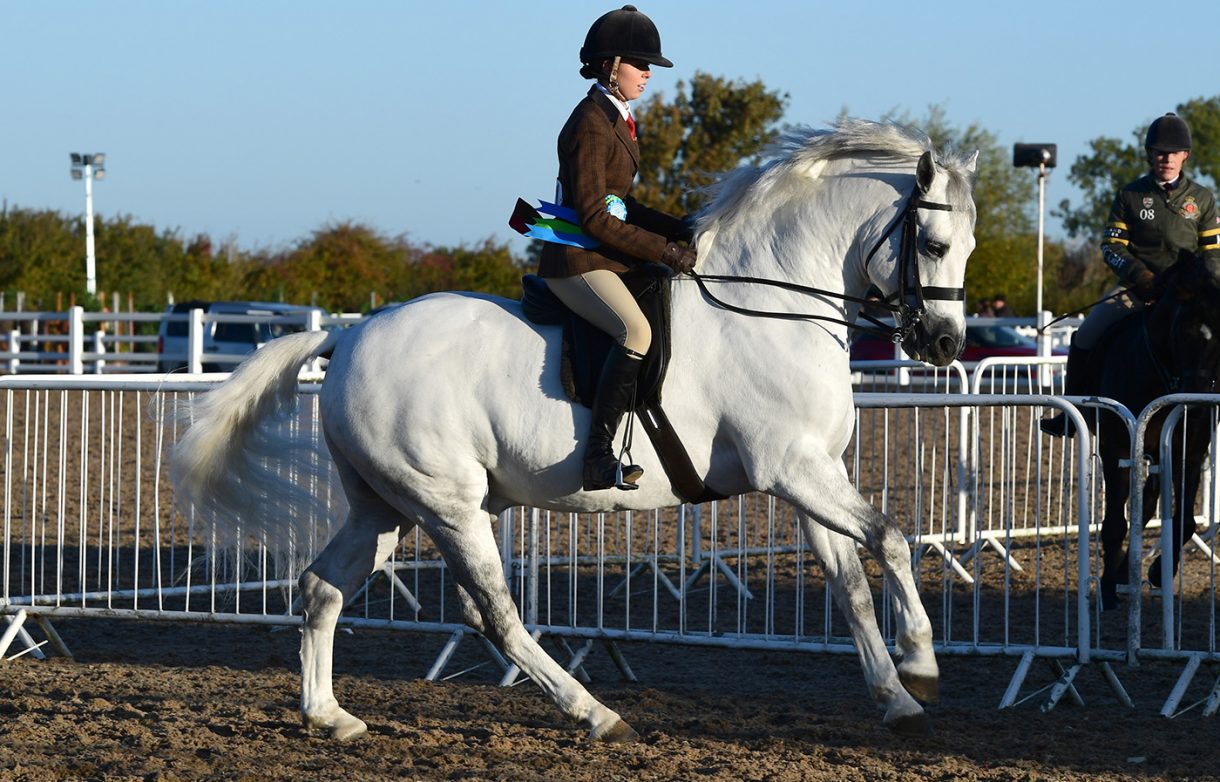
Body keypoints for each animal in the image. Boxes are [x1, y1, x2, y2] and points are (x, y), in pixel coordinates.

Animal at [170, 120, 979, 741]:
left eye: (968, 249)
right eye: (935, 245)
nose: (942, 344)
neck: (773, 304)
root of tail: (350, 334)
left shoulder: (810, 476)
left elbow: (852, 586)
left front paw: (896, 699)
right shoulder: (795, 469)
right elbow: (893, 540)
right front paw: (923, 668)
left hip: (387, 507)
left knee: (321, 590)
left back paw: (330, 717)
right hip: (449, 505)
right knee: (495, 615)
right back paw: (595, 714)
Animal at [1088, 252, 1220, 610]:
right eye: (1182, 332)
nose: (1196, 400)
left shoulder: (1189, 450)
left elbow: (1184, 519)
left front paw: (1159, 571)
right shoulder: (1116, 447)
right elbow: (1114, 523)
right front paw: (1108, 588)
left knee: (1148, 502)